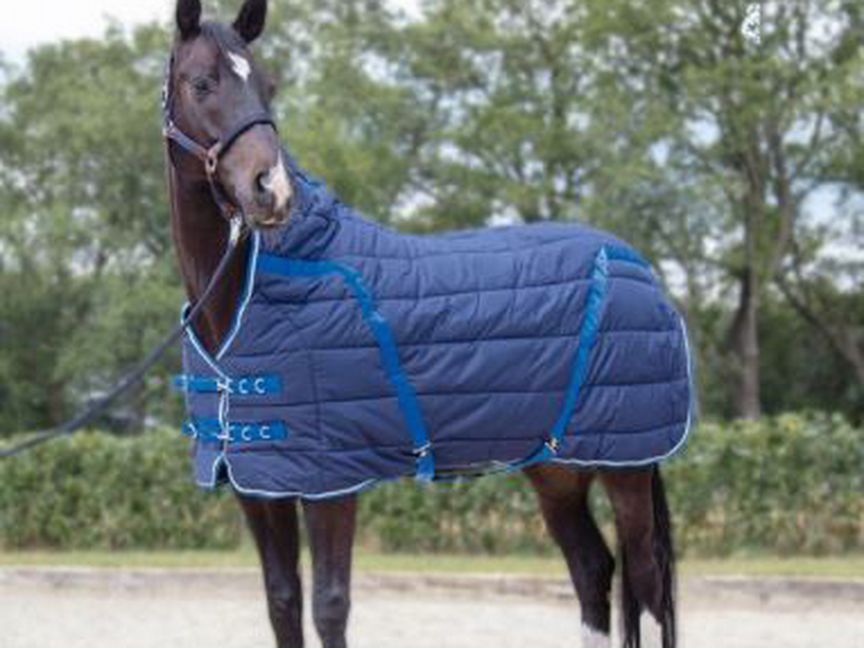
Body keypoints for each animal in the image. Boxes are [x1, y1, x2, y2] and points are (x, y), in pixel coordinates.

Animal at [164, 1, 681, 647]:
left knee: (647, 583)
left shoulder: (330, 482)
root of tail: (640, 269)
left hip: (627, 468)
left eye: (268, 84)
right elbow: (282, 603)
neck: (241, 304)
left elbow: (329, 606)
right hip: (557, 471)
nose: (271, 190)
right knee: (592, 570)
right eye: (201, 82)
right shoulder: (259, 487)